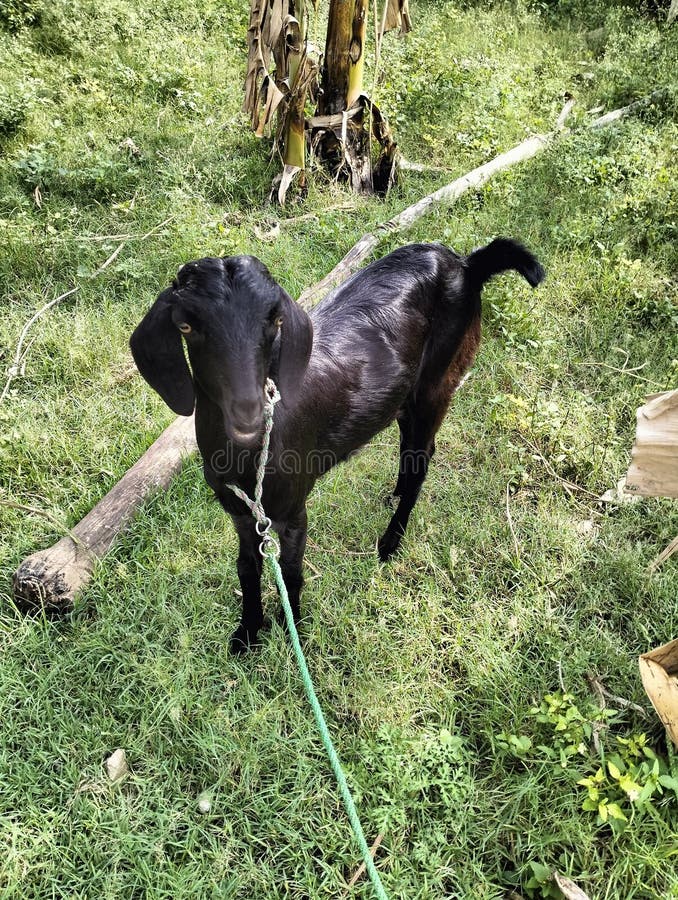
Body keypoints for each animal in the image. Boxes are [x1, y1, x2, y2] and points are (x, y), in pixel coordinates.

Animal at [130, 238, 545, 652]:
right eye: (185, 325)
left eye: (275, 320)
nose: (247, 411)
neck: (248, 459)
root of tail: (465, 264)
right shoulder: (242, 514)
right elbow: (246, 569)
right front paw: (247, 633)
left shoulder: (292, 511)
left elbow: (292, 574)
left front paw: (293, 629)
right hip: (401, 396)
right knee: (409, 449)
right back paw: (393, 497)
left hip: (438, 380)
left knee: (422, 457)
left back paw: (390, 542)